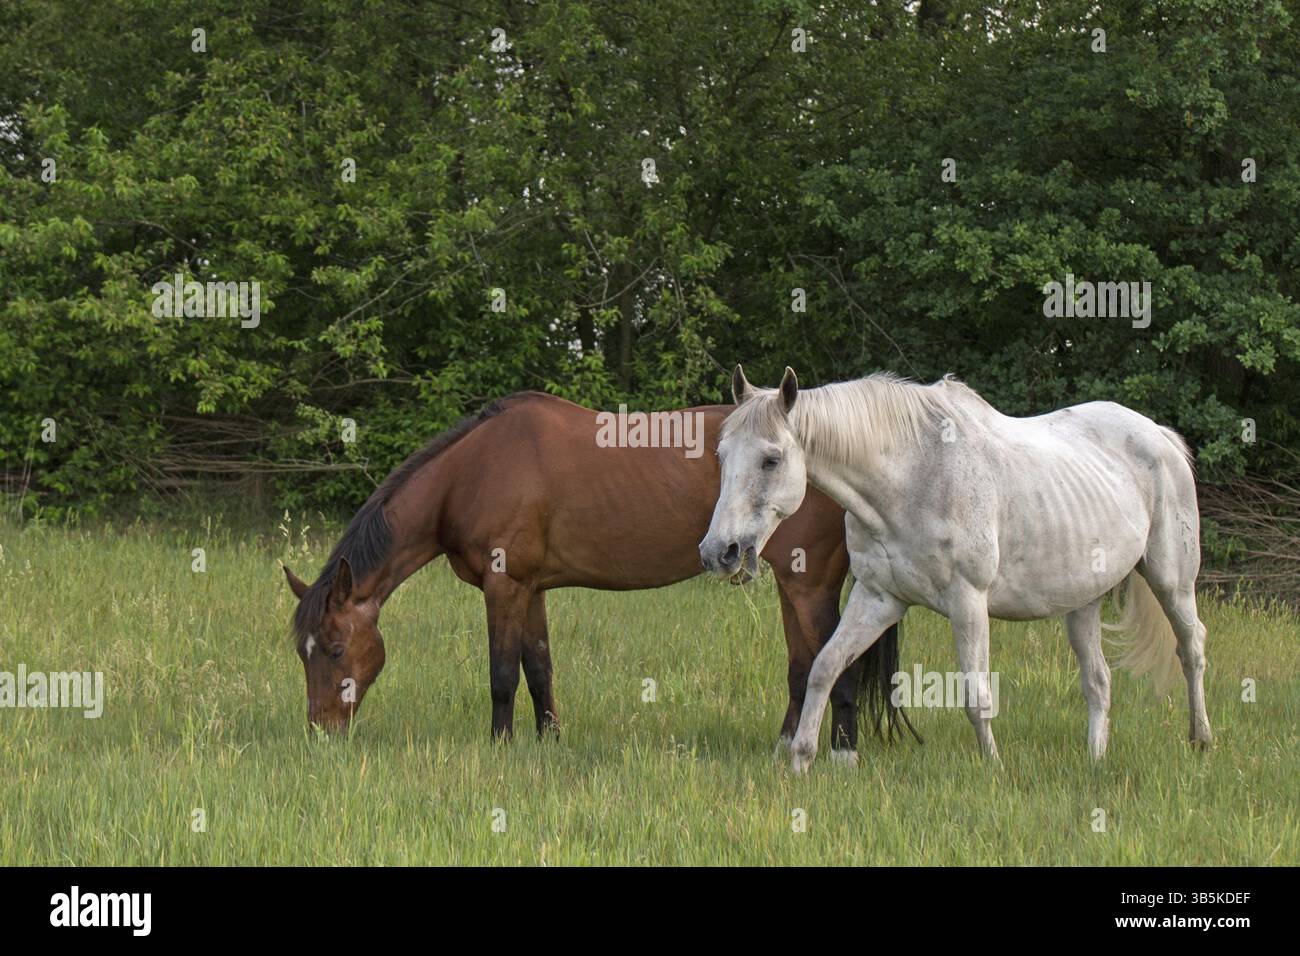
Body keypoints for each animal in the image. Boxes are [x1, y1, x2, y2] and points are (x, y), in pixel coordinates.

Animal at [282, 390, 910, 757]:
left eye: (334, 649)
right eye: (302, 652)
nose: (319, 732)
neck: (472, 473)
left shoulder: (504, 588)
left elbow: (502, 675)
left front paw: (499, 747)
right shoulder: (530, 589)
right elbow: (538, 668)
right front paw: (548, 742)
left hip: (809, 584)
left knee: (834, 664)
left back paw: (838, 751)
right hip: (787, 581)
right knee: (803, 664)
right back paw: (783, 745)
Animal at [701, 365, 1211, 772]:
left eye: (771, 459)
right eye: (722, 457)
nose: (718, 552)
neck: (914, 476)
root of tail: (1160, 436)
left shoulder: (968, 601)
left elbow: (975, 695)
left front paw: (994, 768)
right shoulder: (878, 598)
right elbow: (825, 667)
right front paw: (801, 761)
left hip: (1172, 582)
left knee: (1191, 649)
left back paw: (1201, 741)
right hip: (1081, 603)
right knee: (1099, 682)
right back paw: (1096, 761)